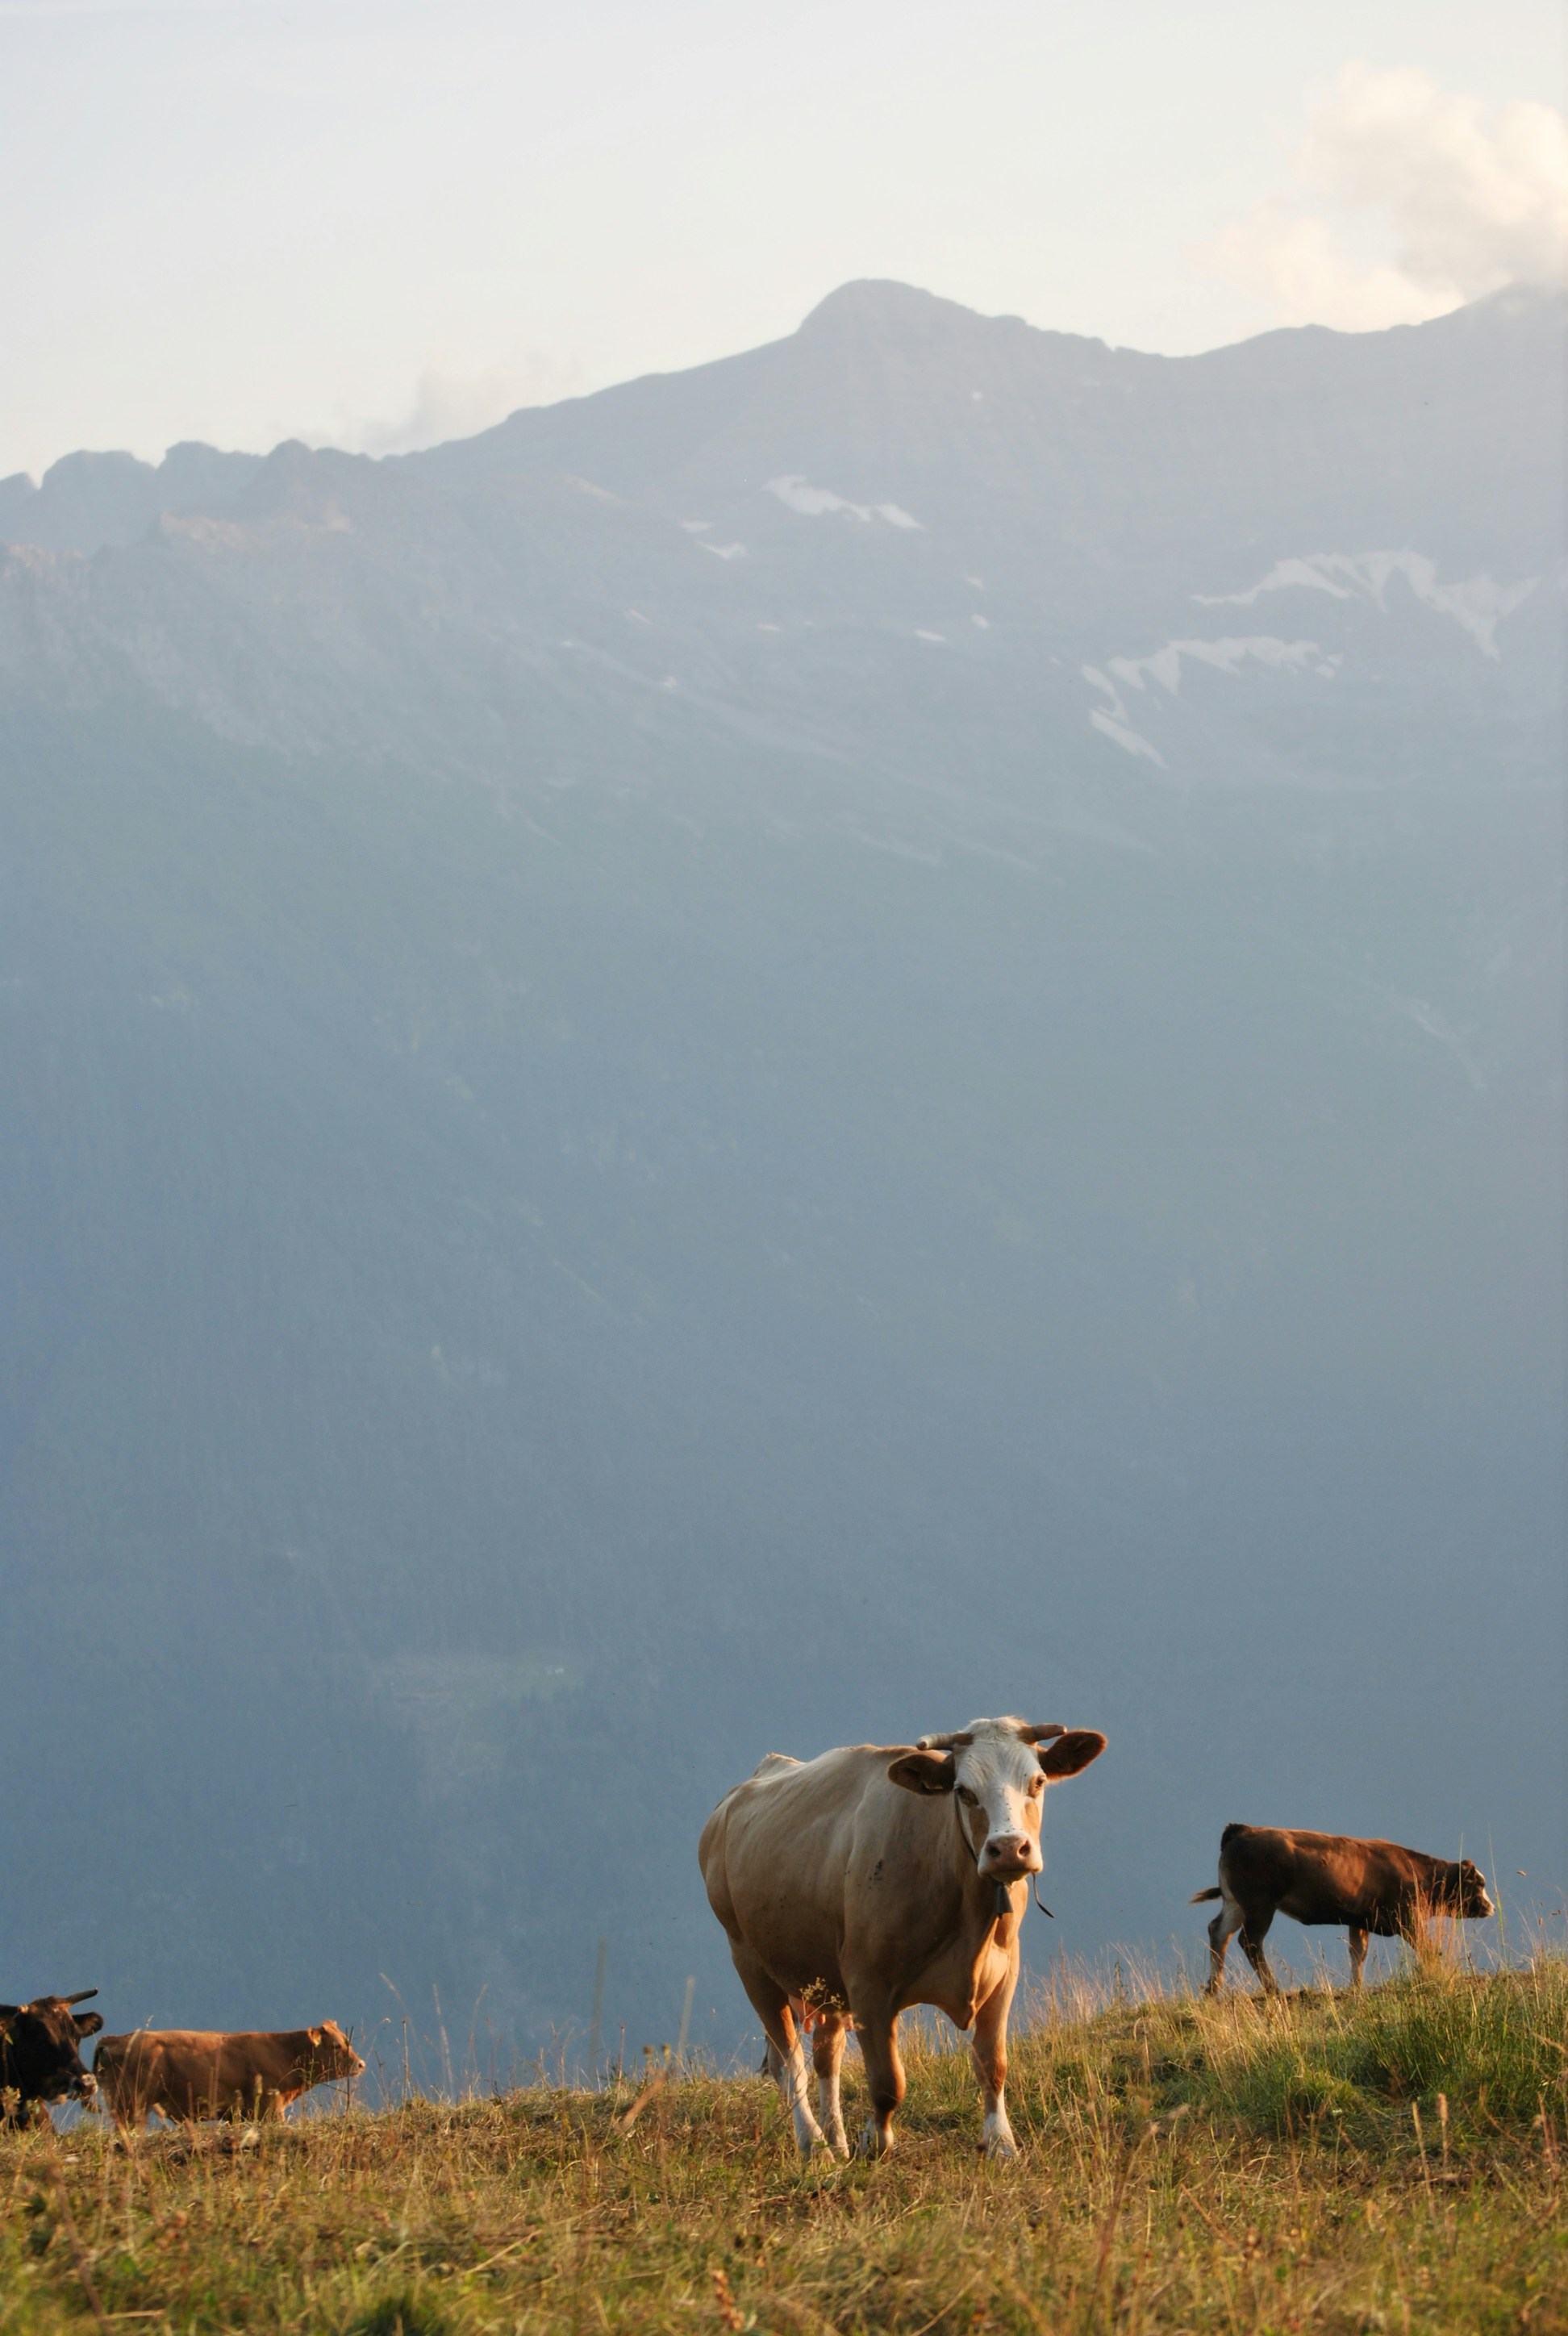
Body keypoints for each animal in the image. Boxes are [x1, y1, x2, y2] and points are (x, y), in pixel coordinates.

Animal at [93, 2023, 364, 2126]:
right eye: (336, 2046)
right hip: (129, 2104)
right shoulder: (269, 2108)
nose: (361, 2064)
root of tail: (115, 2039)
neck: (284, 2051)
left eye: (347, 2040)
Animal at [700, 1715, 1107, 2159]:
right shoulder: (869, 1986)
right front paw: (874, 2140)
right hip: (750, 1961)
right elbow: (887, 2082)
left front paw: (1002, 2144)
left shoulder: (1003, 1975)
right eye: (963, 1792)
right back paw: (814, 2145)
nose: (1010, 1848)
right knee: (789, 2063)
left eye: (1038, 1781)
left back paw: (836, 2141)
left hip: (824, 1975)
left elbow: (992, 2064)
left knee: (826, 2058)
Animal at [1192, 1823, 1494, 1995]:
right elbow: (1427, 1948)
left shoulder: (1359, 1921)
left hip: (1236, 1905)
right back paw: (1271, 1989)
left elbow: (1357, 1954)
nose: (1490, 1908)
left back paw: (1213, 1988)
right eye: (1479, 1883)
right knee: (1250, 1942)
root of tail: (1245, 1829)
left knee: (1219, 1933)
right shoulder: (1408, 1920)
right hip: (1260, 1906)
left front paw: (1357, 1987)